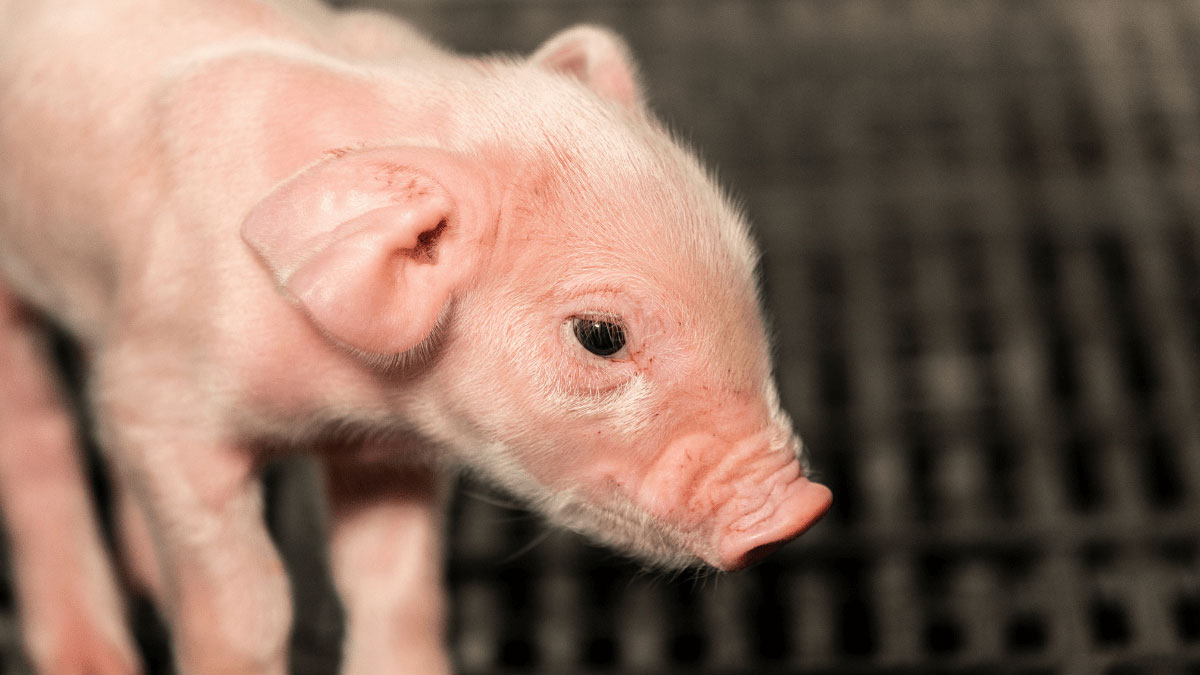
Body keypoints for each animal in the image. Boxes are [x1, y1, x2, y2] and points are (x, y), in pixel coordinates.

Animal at [0, 0, 833, 673]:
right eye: (600, 335)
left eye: (747, 281)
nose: (801, 506)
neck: (350, 401)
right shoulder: (159, 394)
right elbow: (251, 598)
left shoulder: (391, 450)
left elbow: (393, 582)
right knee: (39, 436)